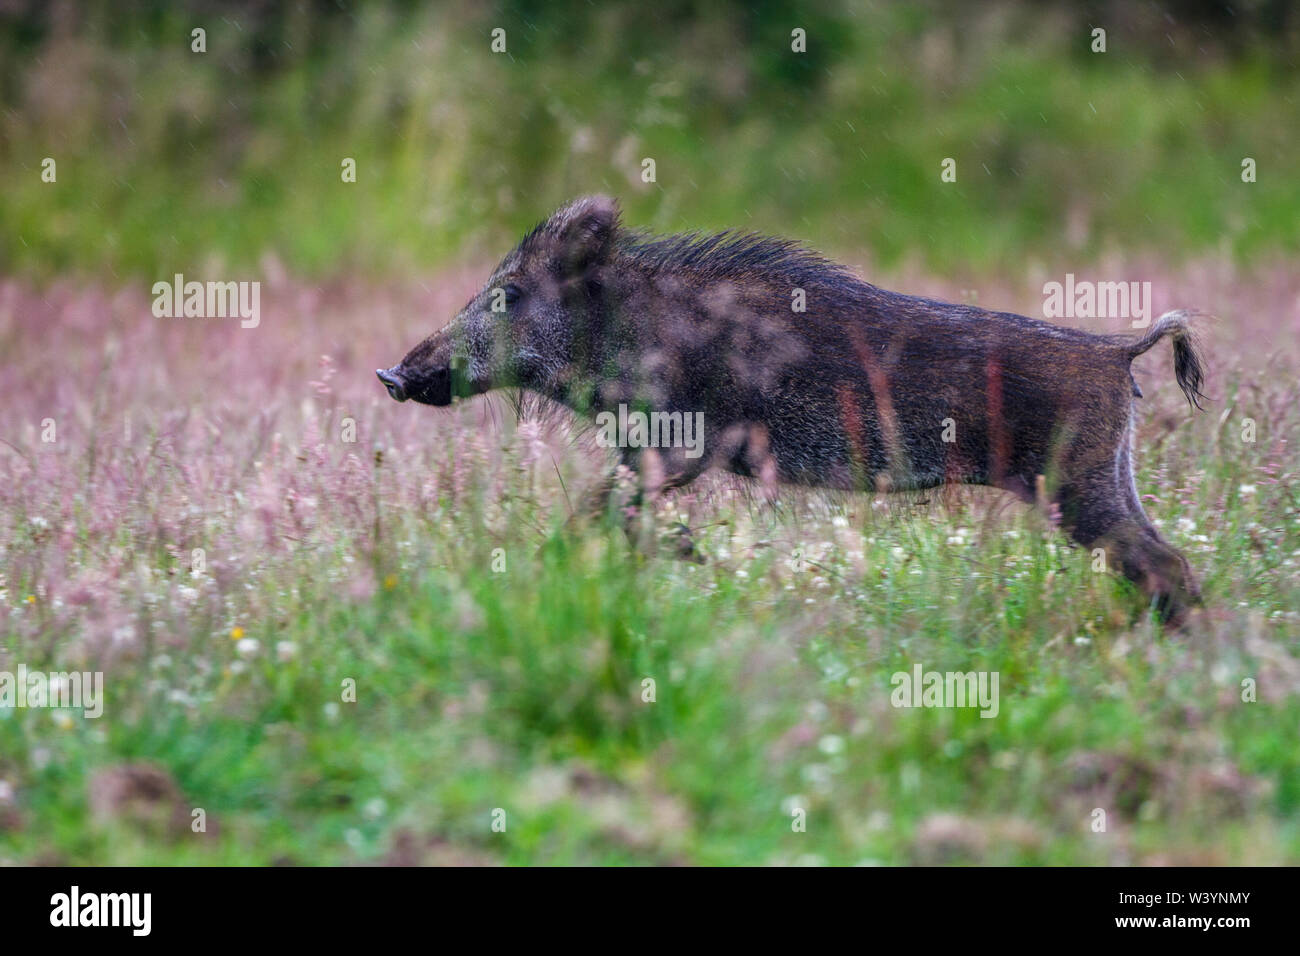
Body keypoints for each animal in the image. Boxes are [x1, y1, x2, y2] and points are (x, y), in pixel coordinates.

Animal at [379, 196, 1207, 626]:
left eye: (510, 294)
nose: (392, 374)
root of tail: (1118, 354)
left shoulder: (679, 444)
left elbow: (597, 510)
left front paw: (678, 554)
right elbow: (613, 512)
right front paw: (684, 553)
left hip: (1075, 481)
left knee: (1162, 563)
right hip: (1109, 475)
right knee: (1168, 561)